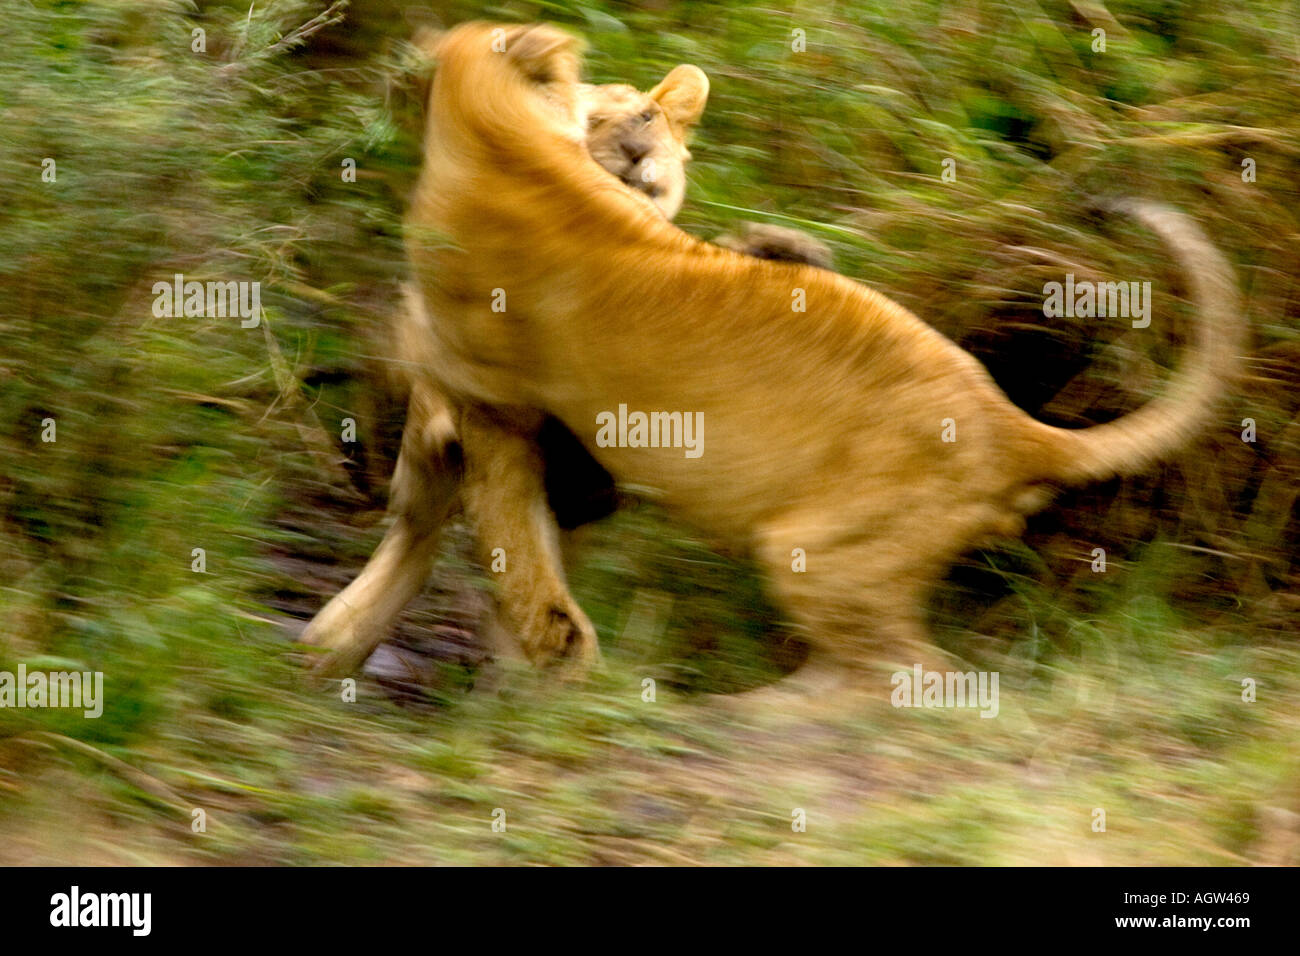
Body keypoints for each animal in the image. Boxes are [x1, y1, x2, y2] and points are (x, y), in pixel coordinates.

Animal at [309, 22, 1243, 701]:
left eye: (645, 110)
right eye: (605, 108)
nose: (642, 137)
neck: (502, 147)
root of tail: (1018, 428)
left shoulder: (500, 402)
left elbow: (497, 516)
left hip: (821, 553)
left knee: (919, 680)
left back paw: (741, 717)